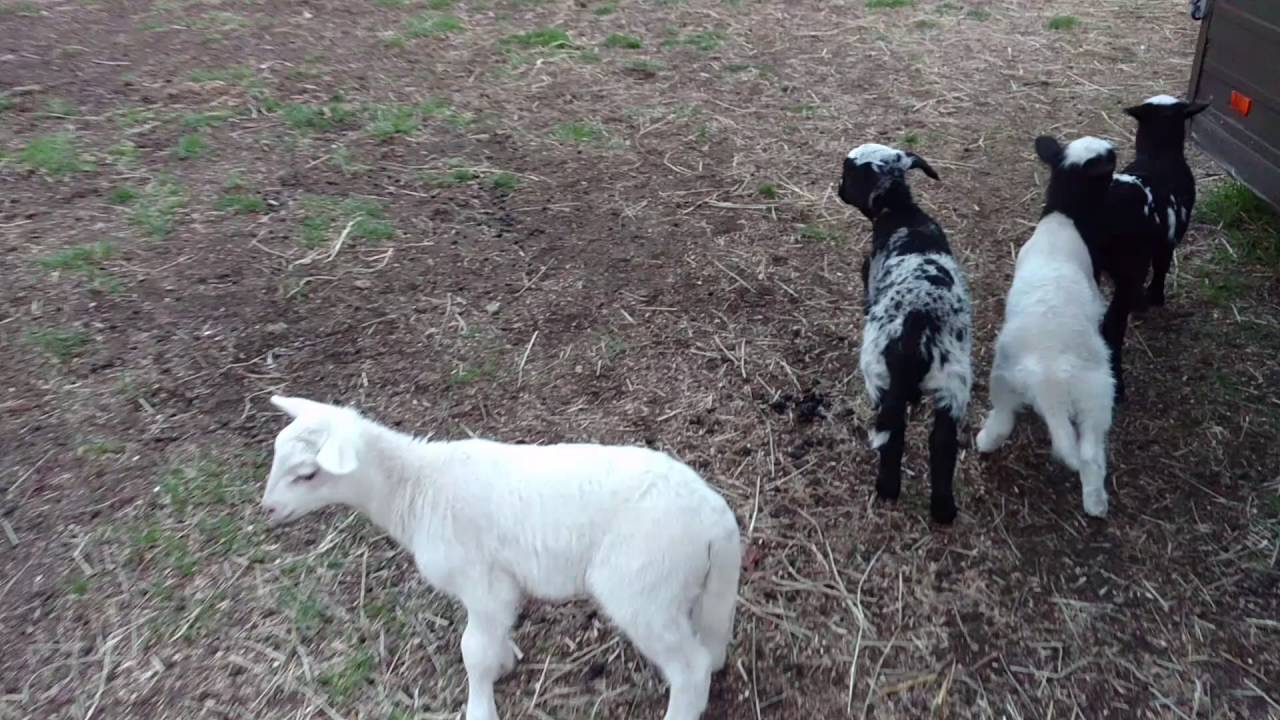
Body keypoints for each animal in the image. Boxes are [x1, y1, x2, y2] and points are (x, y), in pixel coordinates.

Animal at [260, 395, 742, 720]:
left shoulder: (482, 579)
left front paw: (480, 705)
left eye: (308, 474)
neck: (416, 488)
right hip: (690, 587)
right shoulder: (499, 586)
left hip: (641, 586)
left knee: (690, 668)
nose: (268, 510)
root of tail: (717, 519)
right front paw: (505, 661)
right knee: (708, 648)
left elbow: (472, 650)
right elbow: (491, 637)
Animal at [838, 143, 972, 524]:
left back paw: (887, 488)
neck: (903, 213)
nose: (838, 189)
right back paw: (943, 508)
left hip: (879, 372)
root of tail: (918, 323)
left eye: (848, 173)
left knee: (893, 432)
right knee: (943, 444)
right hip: (953, 383)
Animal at [976, 135, 1118, 518]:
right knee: (1088, 451)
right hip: (1093, 393)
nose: (1115, 149)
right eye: (1110, 160)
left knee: (1011, 419)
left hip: (1044, 383)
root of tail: (1052, 380)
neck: (1061, 217)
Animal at [1094, 95, 1208, 401]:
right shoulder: (1165, 243)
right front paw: (1153, 299)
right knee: (1111, 324)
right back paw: (1117, 387)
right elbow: (1161, 269)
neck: (1157, 154)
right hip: (1129, 266)